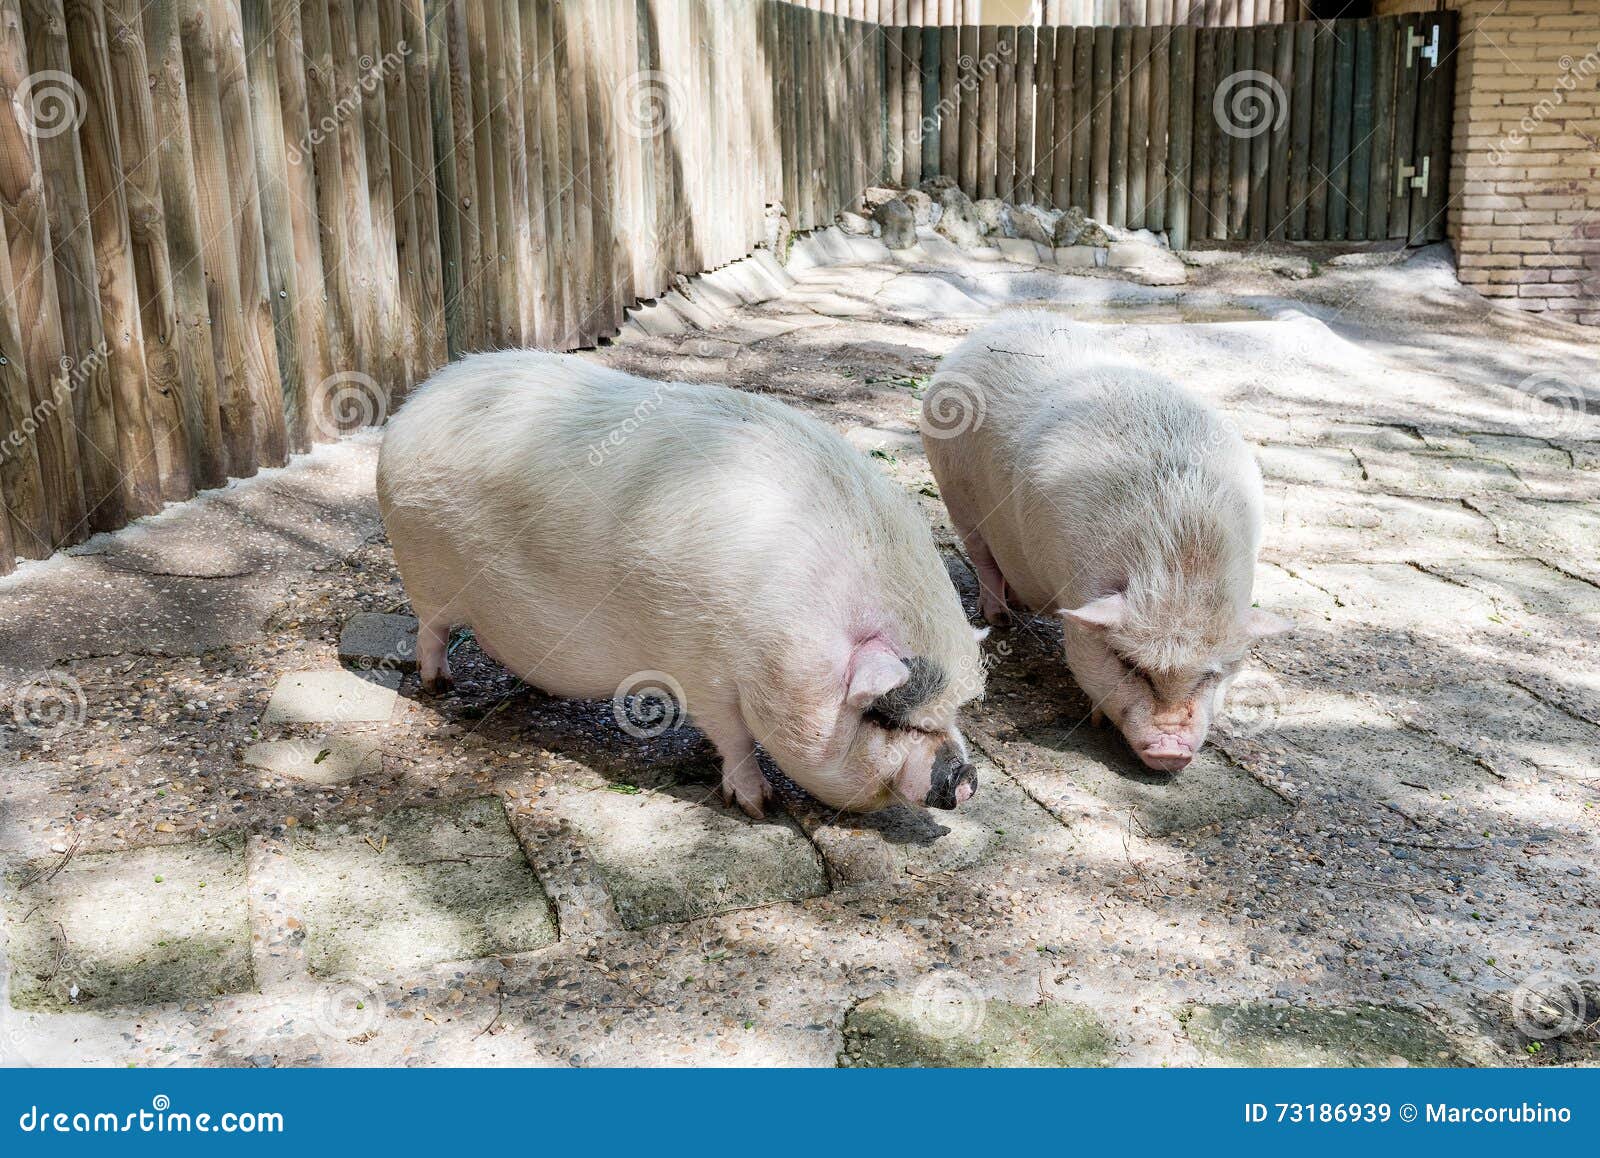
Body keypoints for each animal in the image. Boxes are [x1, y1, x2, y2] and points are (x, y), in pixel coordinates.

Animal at [378, 350, 983, 818]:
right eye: (885, 716)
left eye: (953, 710)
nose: (966, 780)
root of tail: (419, 399)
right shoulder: (701, 669)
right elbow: (734, 738)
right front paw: (759, 807)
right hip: (421, 565)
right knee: (429, 629)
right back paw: (439, 686)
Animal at [921, 314, 1290, 772]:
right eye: (1130, 665)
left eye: (1210, 674)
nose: (1171, 751)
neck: (1180, 566)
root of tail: (992, 330)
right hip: (956, 493)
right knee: (982, 557)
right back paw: (1001, 617)